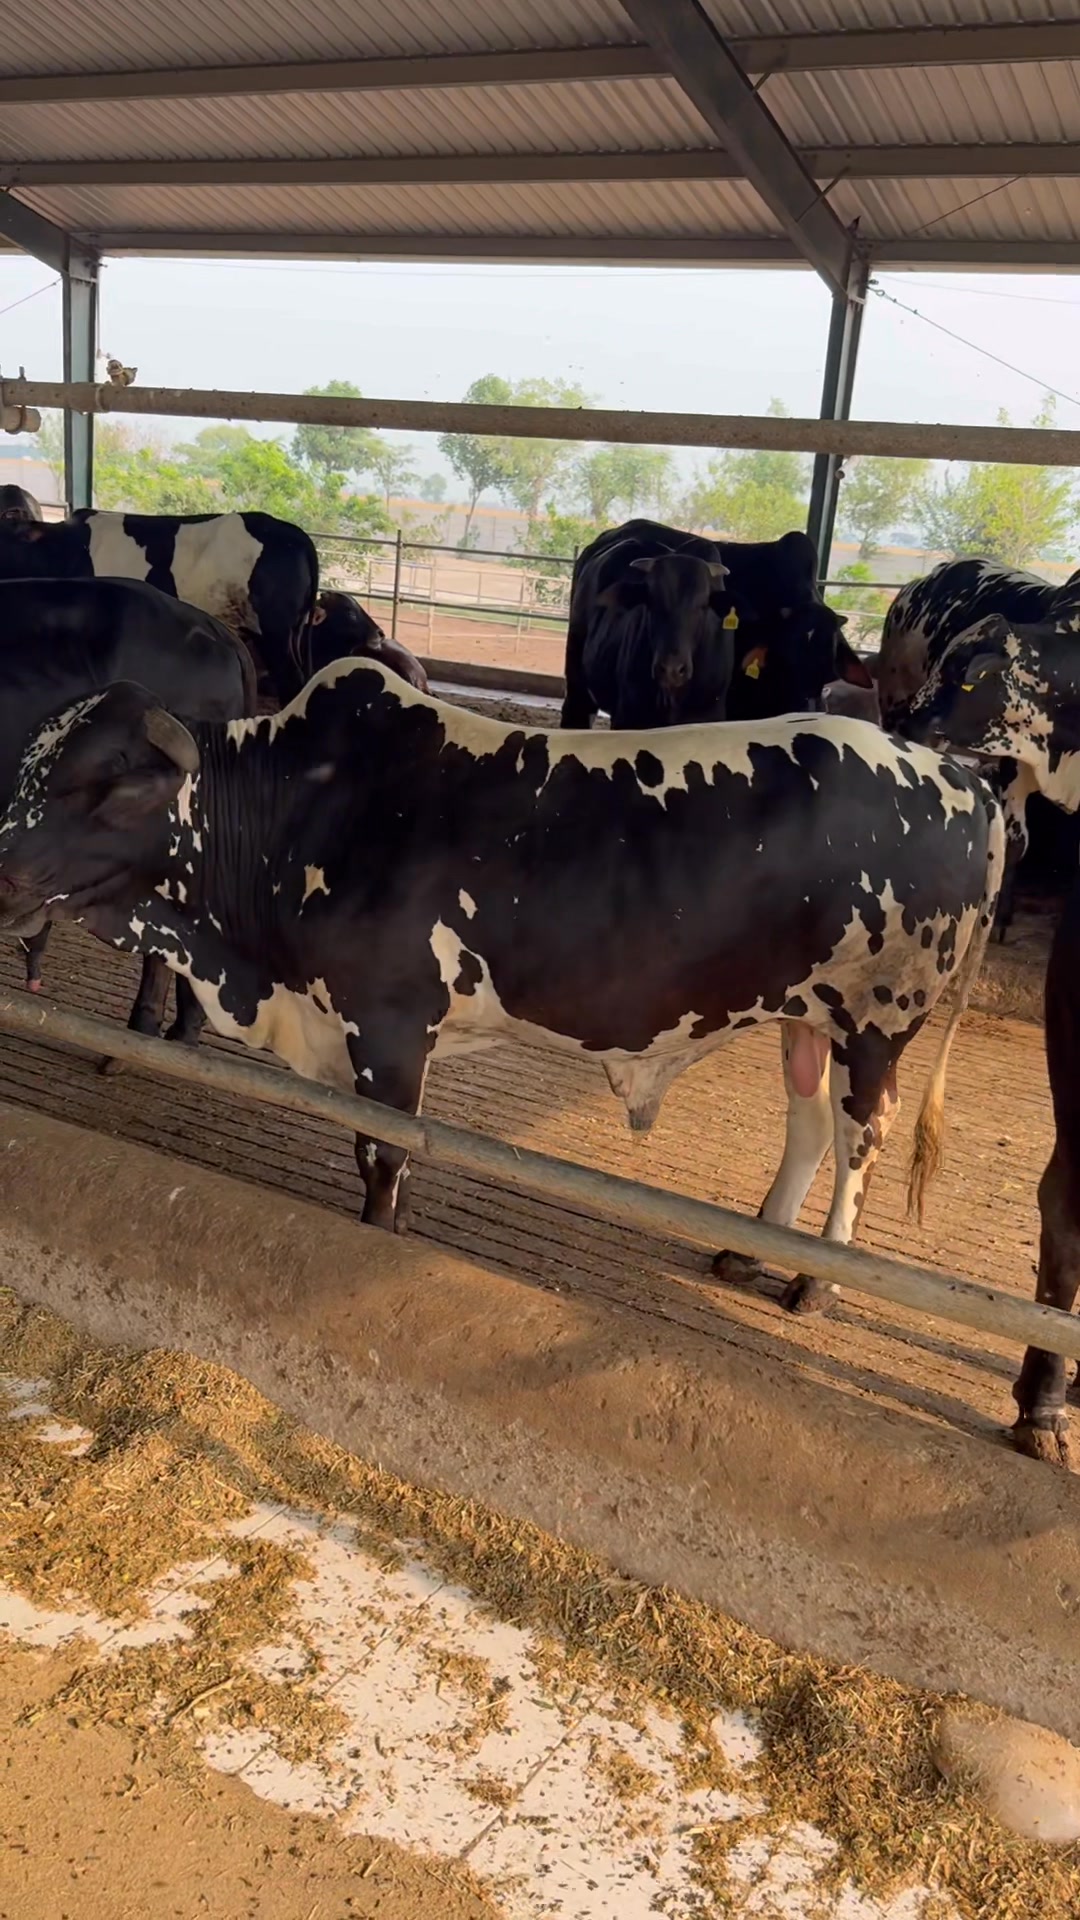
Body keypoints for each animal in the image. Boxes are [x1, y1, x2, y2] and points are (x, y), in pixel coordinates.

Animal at [0, 663, 1002, 1314]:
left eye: (110, 785)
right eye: (28, 765)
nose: (0, 870)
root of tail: (965, 779)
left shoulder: (390, 1026)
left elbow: (383, 1156)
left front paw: (377, 1235)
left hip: (878, 1019)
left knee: (862, 1136)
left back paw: (814, 1282)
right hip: (805, 1014)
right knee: (809, 1125)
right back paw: (753, 1246)